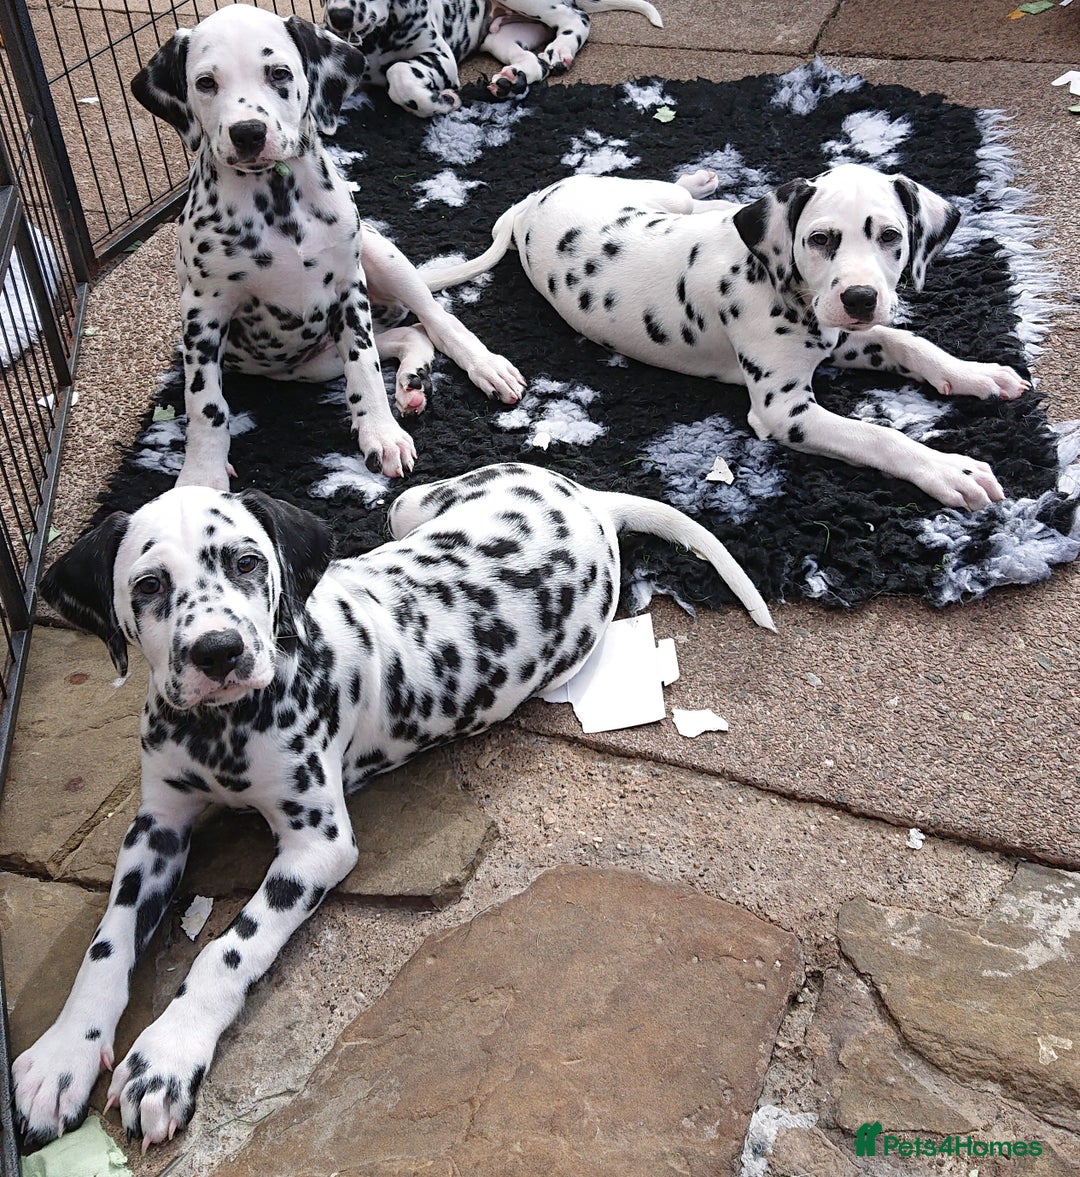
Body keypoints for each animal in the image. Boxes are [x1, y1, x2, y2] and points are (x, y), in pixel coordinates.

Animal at [14, 462, 773, 1151]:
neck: (219, 728)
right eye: (148, 586)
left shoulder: (317, 846)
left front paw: (168, 1056)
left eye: (246, 562)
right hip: (410, 510)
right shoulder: (156, 828)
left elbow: (230, 949)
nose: (218, 651)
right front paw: (62, 1057)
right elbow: (106, 945)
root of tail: (590, 499)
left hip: (415, 506)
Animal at [130, 6, 525, 491]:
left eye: (279, 73)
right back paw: (412, 380)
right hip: (310, 366)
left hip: (381, 257)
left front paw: (381, 434)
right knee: (407, 334)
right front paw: (201, 477)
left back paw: (483, 366)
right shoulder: (203, 312)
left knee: (435, 321)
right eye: (205, 83)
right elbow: (204, 402)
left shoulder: (348, 289)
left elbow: (365, 365)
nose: (248, 133)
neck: (276, 198)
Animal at [322, 0, 663, 115]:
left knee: (576, 17)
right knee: (532, 62)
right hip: (498, 36)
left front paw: (436, 103)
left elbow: (400, 74)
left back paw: (562, 49)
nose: (339, 16)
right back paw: (512, 80)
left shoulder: (439, 56)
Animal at [425, 165, 1031, 510]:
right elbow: (878, 436)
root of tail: (532, 199)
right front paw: (950, 470)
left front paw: (975, 373)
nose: (860, 297)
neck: (772, 275)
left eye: (890, 236)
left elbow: (911, 343)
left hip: (660, 200)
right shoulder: (785, 410)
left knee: (691, 200)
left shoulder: (844, 336)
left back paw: (716, 191)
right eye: (820, 239)